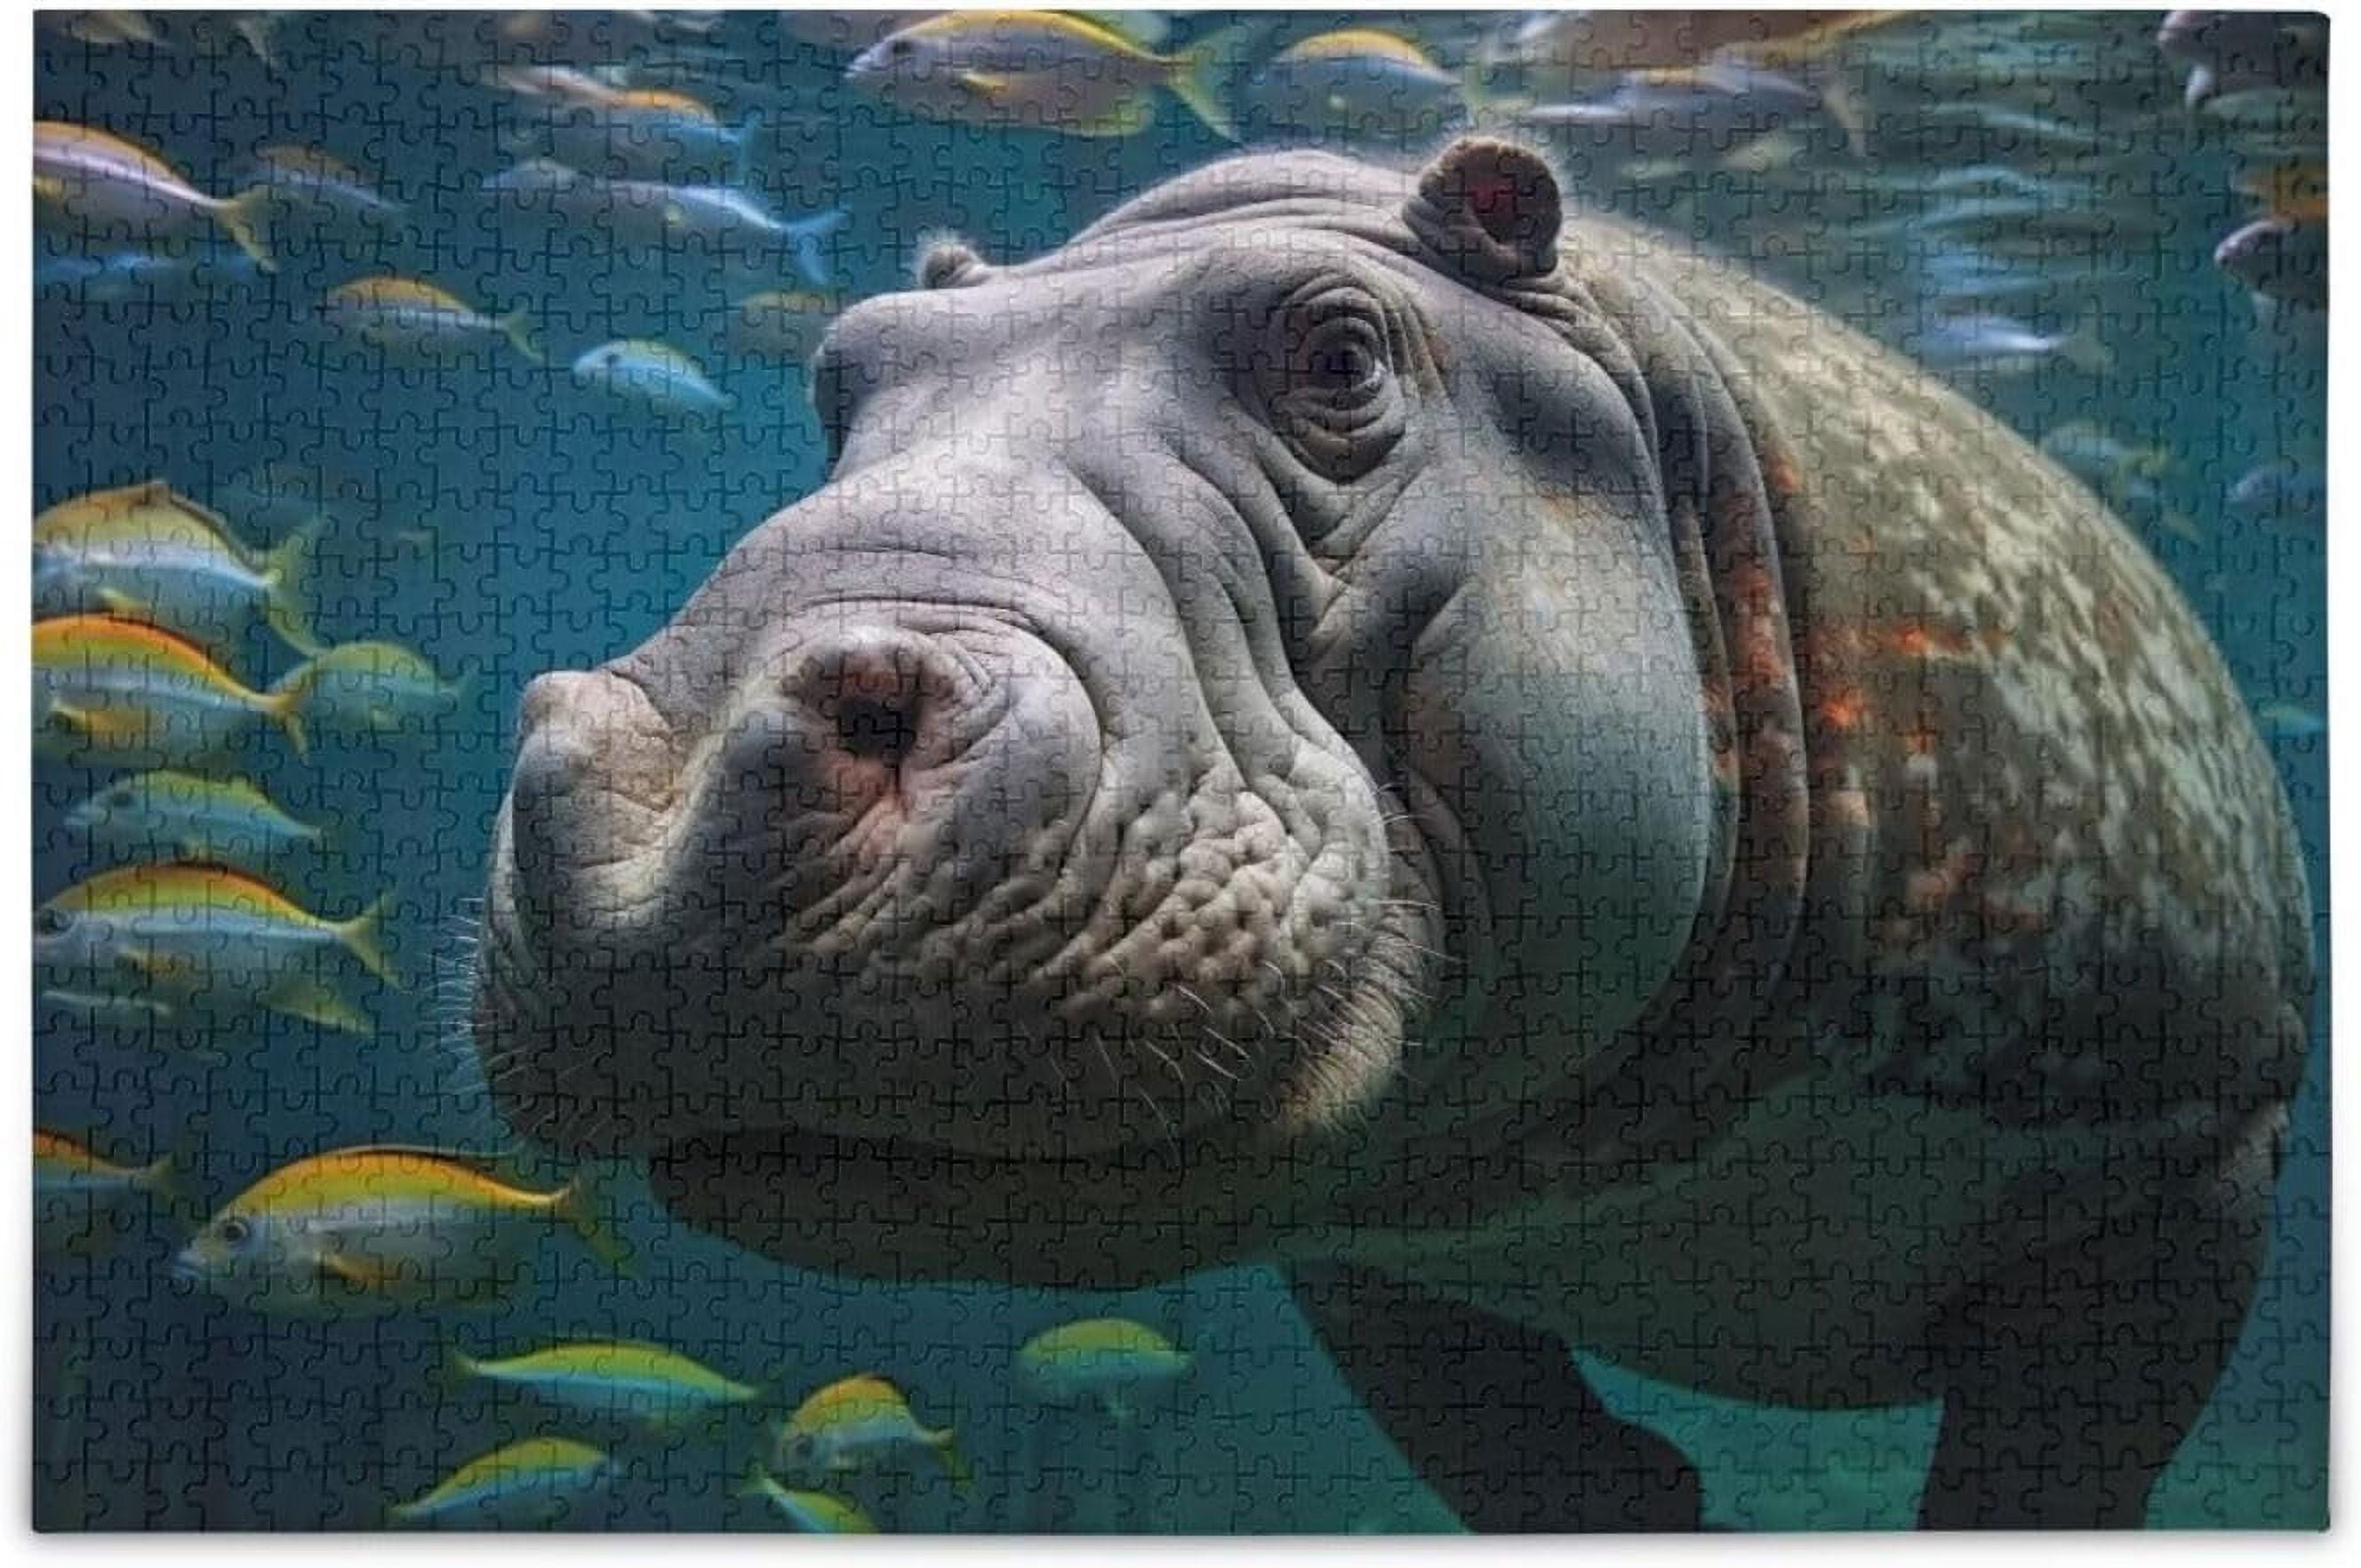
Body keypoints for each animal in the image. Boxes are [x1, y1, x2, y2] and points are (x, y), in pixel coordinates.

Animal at [473, 140, 2313, 1530]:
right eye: (840, 370)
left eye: (1338, 354)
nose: (700, 765)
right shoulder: (1373, 1239)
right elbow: (1534, 1457)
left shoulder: (2200, 1138)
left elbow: (2038, 1477)